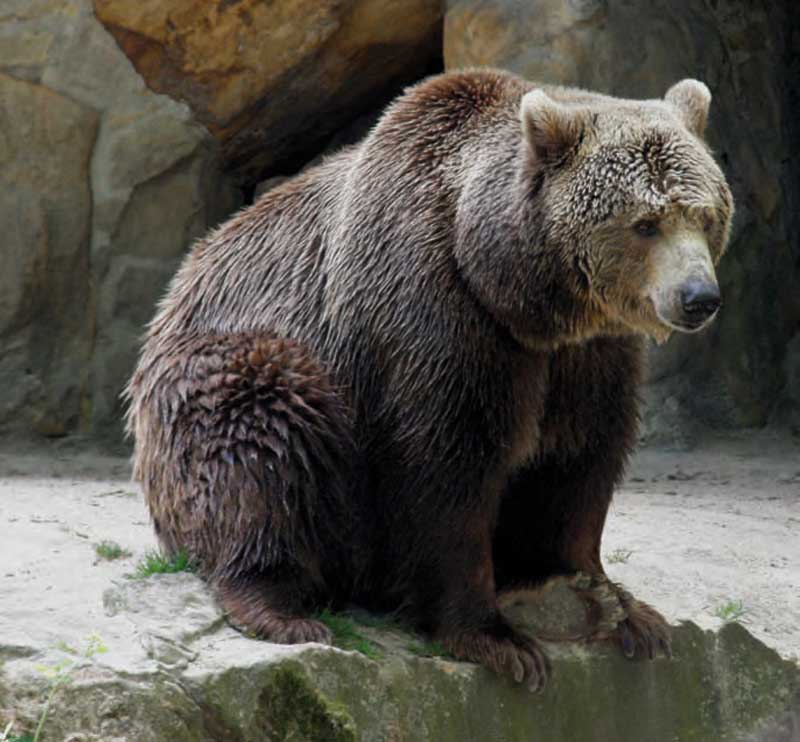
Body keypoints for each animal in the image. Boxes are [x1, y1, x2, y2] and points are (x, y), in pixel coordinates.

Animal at [126, 68, 733, 690]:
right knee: (266, 441)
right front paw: (497, 640)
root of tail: (173, 296)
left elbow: (579, 458)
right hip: (234, 367)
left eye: (706, 215)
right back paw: (280, 609)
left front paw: (623, 610)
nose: (698, 298)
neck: (516, 295)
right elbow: (445, 467)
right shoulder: (433, 314)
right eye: (646, 223)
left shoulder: (587, 356)